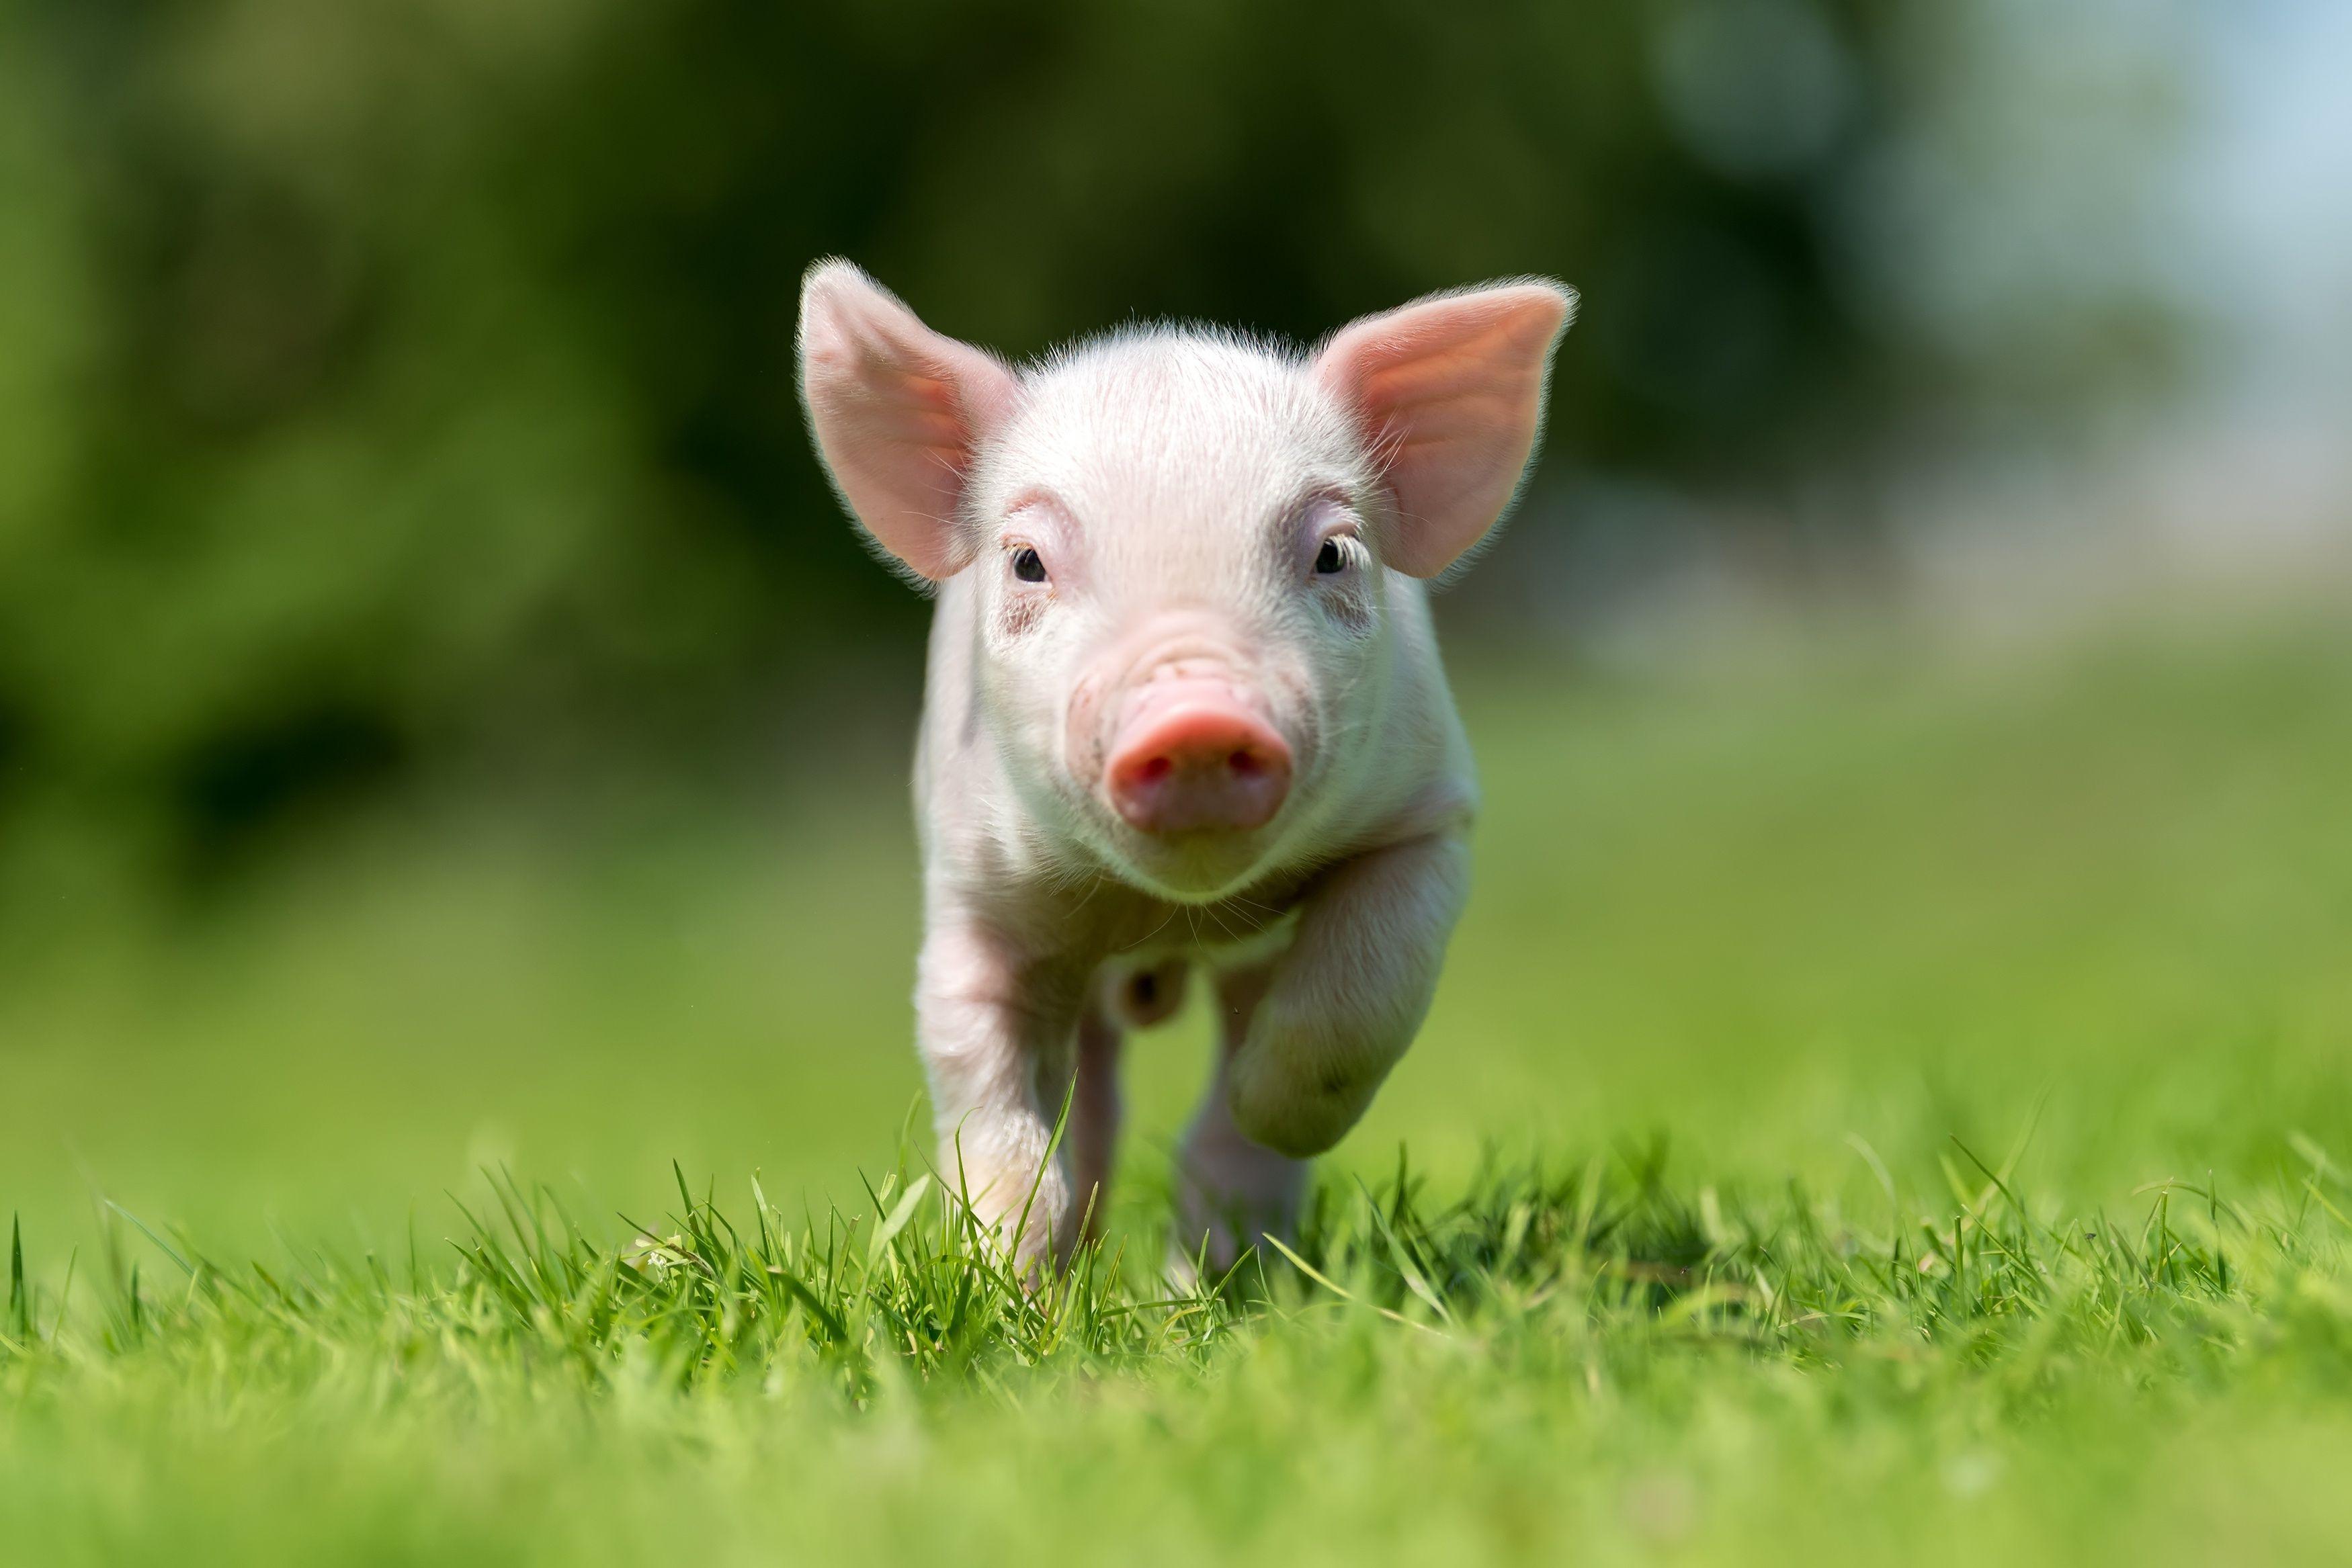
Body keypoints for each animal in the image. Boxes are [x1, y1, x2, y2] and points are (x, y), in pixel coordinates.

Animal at [796, 261, 1575, 1272]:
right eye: (1027, 561)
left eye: (1333, 552)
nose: (1197, 712)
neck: (1168, 915)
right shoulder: (974, 892)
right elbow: (984, 1089)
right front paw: (1002, 1272)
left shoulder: (1426, 820)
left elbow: (1363, 995)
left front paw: (1262, 1105)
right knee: (1092, 1104)